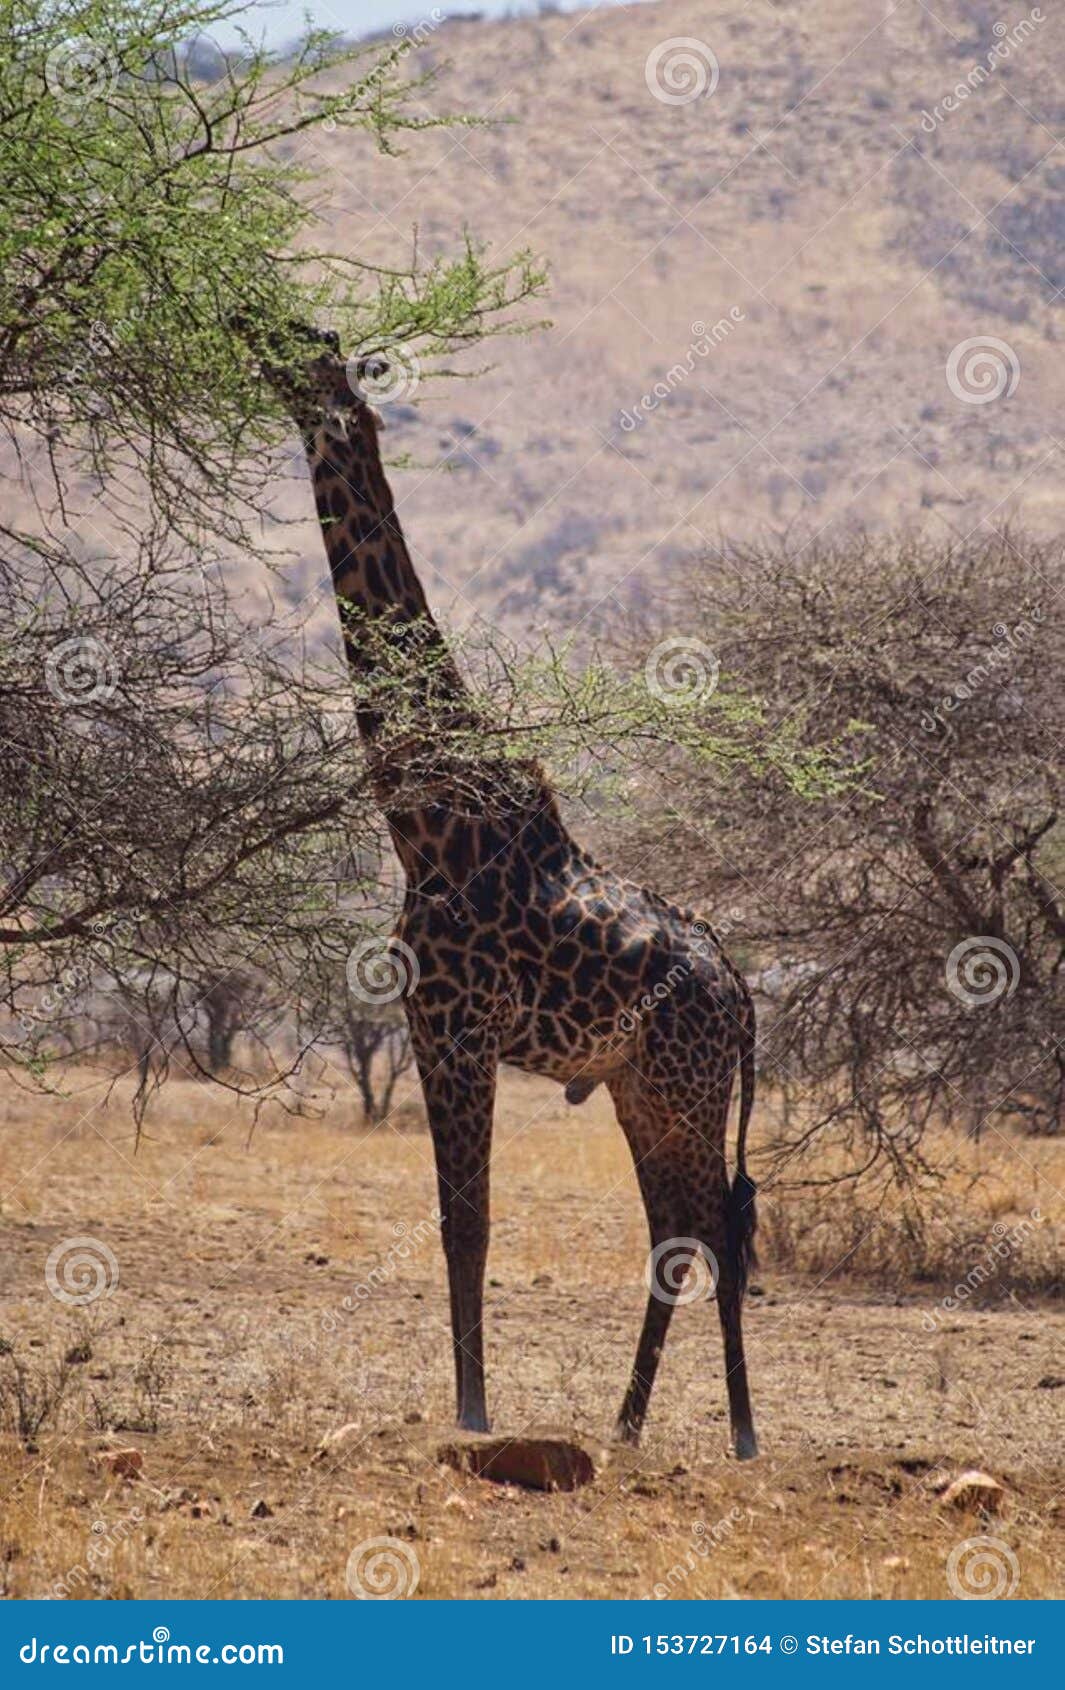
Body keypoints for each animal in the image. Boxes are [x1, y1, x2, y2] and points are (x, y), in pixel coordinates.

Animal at [266, 327, 759, 1457]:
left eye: (306, 354)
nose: (246, 336)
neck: (426, 819)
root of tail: (746, 999)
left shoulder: (453, 1024)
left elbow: (468, 1220)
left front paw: (472, 1410)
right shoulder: (431, 1026)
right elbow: (461, 1220)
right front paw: (473, 1402)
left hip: (686, 1087)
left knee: (718, 1227)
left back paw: (744, 1434)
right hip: (638, 1089)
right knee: (678, 1232)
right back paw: (625, 1423)